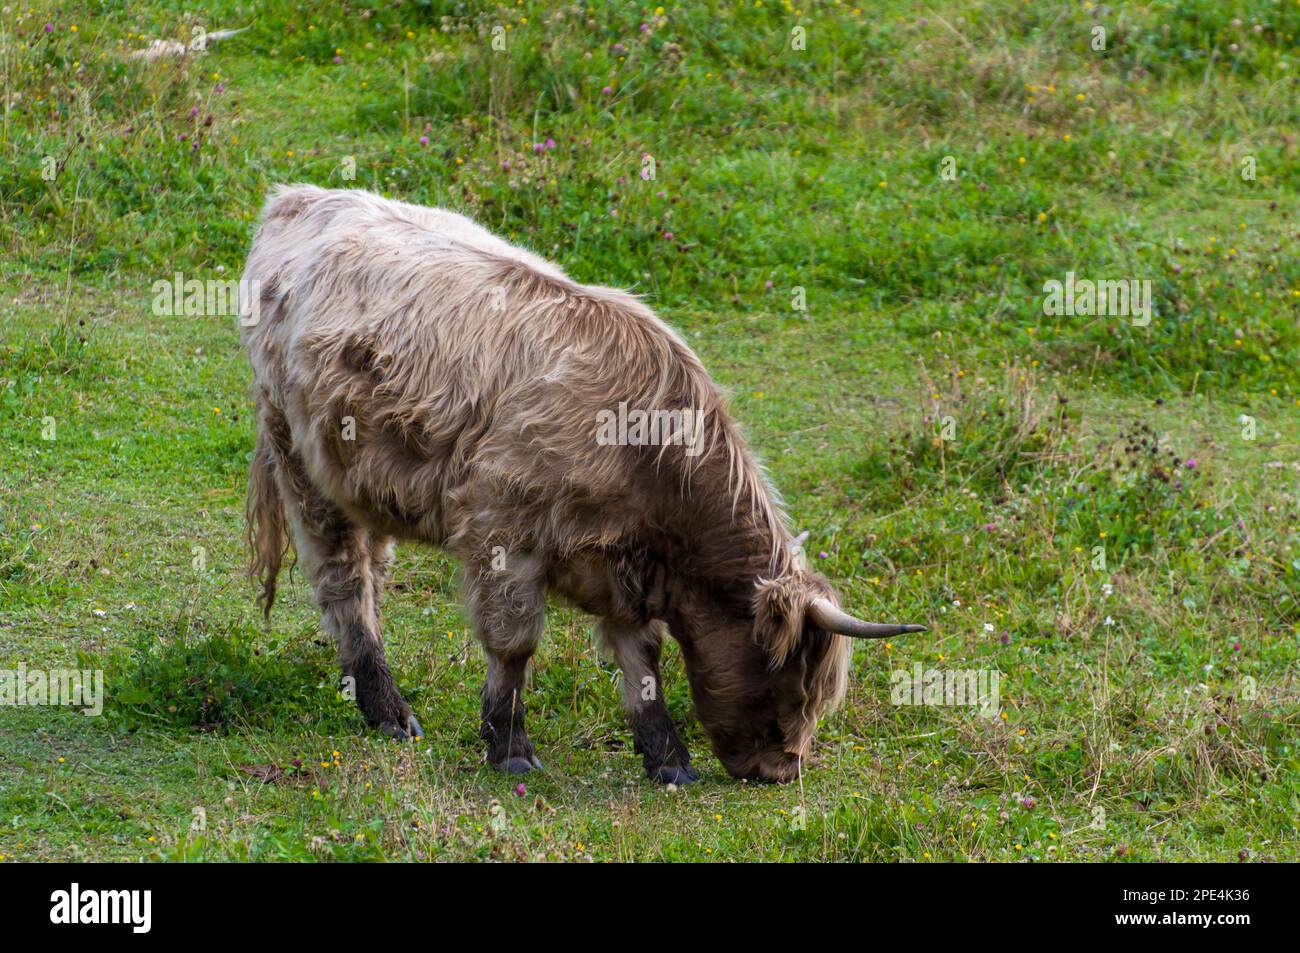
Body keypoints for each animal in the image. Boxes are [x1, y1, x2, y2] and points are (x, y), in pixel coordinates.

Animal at [239, 185, 925, 784]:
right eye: (798, 684)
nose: (783, 770)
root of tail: (300, 198)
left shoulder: (628, 572)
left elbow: (642, 661)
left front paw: (668, 759)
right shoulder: (503, 537)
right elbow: (514, 646)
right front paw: (510, 747)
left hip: (364, 477)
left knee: (371, 572)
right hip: (297, 457)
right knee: (343, 580)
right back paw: (387, 708)